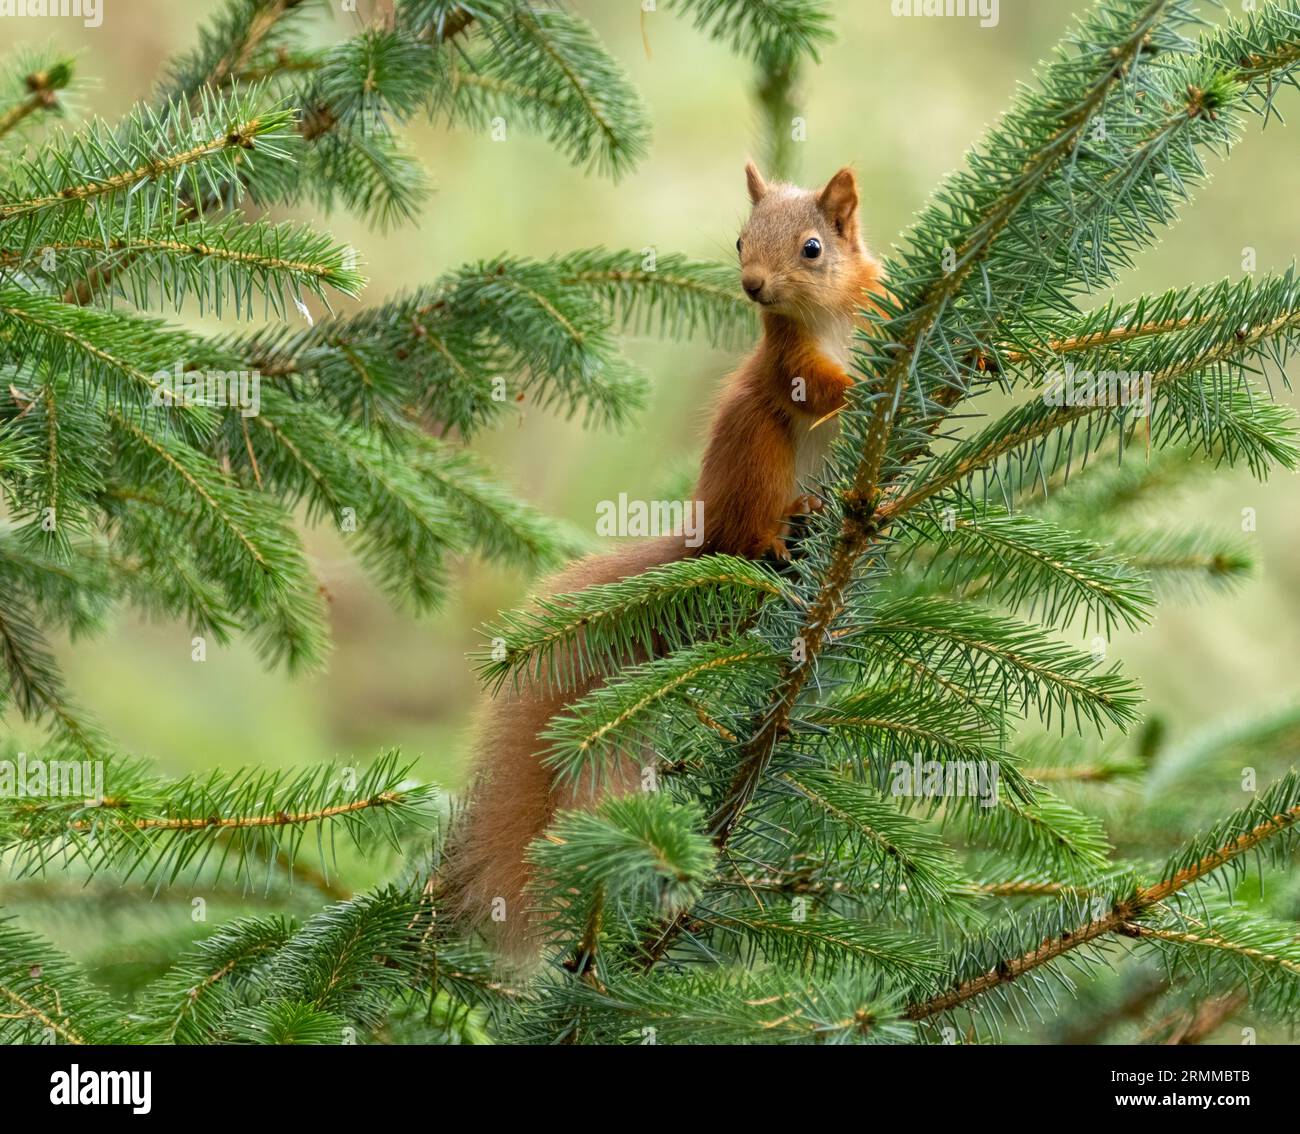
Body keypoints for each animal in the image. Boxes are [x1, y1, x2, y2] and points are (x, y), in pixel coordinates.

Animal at [444, 162, 885, 959]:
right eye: (740, 239)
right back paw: (777, 540)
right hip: (757, 446)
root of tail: (706, 536)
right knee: (754, 527)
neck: (828, 314)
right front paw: (861, 385)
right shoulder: (786, 359)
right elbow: (816, 387)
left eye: (813, 247)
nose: (752, 285)